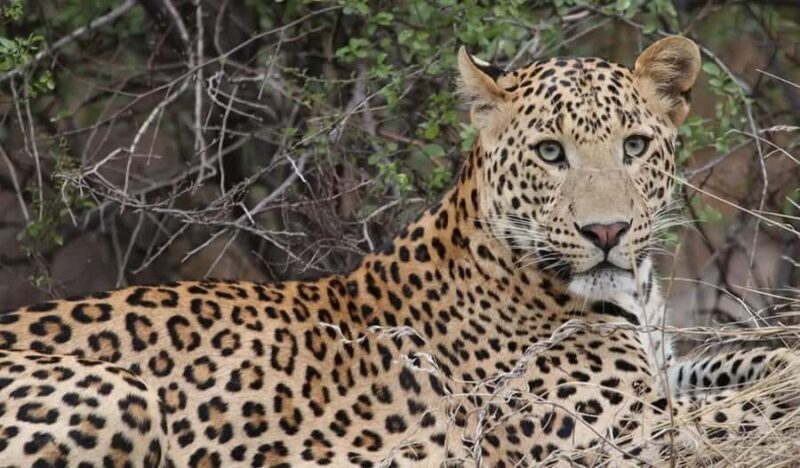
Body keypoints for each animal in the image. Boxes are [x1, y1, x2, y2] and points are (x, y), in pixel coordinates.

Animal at [1, 36, 799, 467]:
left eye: (634, 146)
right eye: (550, 153)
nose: (605, 233)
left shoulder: (666, 373)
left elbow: (748, 363)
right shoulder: (620, 435)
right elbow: (753, 411)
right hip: (118, 393)